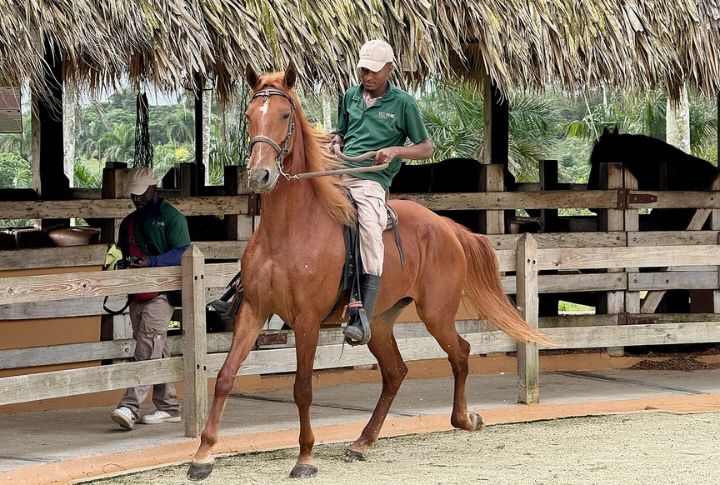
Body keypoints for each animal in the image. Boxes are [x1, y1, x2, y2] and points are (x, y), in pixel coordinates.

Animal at [187, 62, 550, 480]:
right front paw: (203, 456)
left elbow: (302, 388)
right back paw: (362, 441)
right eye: (249, 116)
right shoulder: (254, 310)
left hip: (436, 313)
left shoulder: (306, 320)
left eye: (284, 116)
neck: (289, 230)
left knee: (460, 352)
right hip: (379, 321)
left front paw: (305, 458)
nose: (260, 175)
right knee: (395, 372)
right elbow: (225, 376)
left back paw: (464, 419)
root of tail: (446, 226)